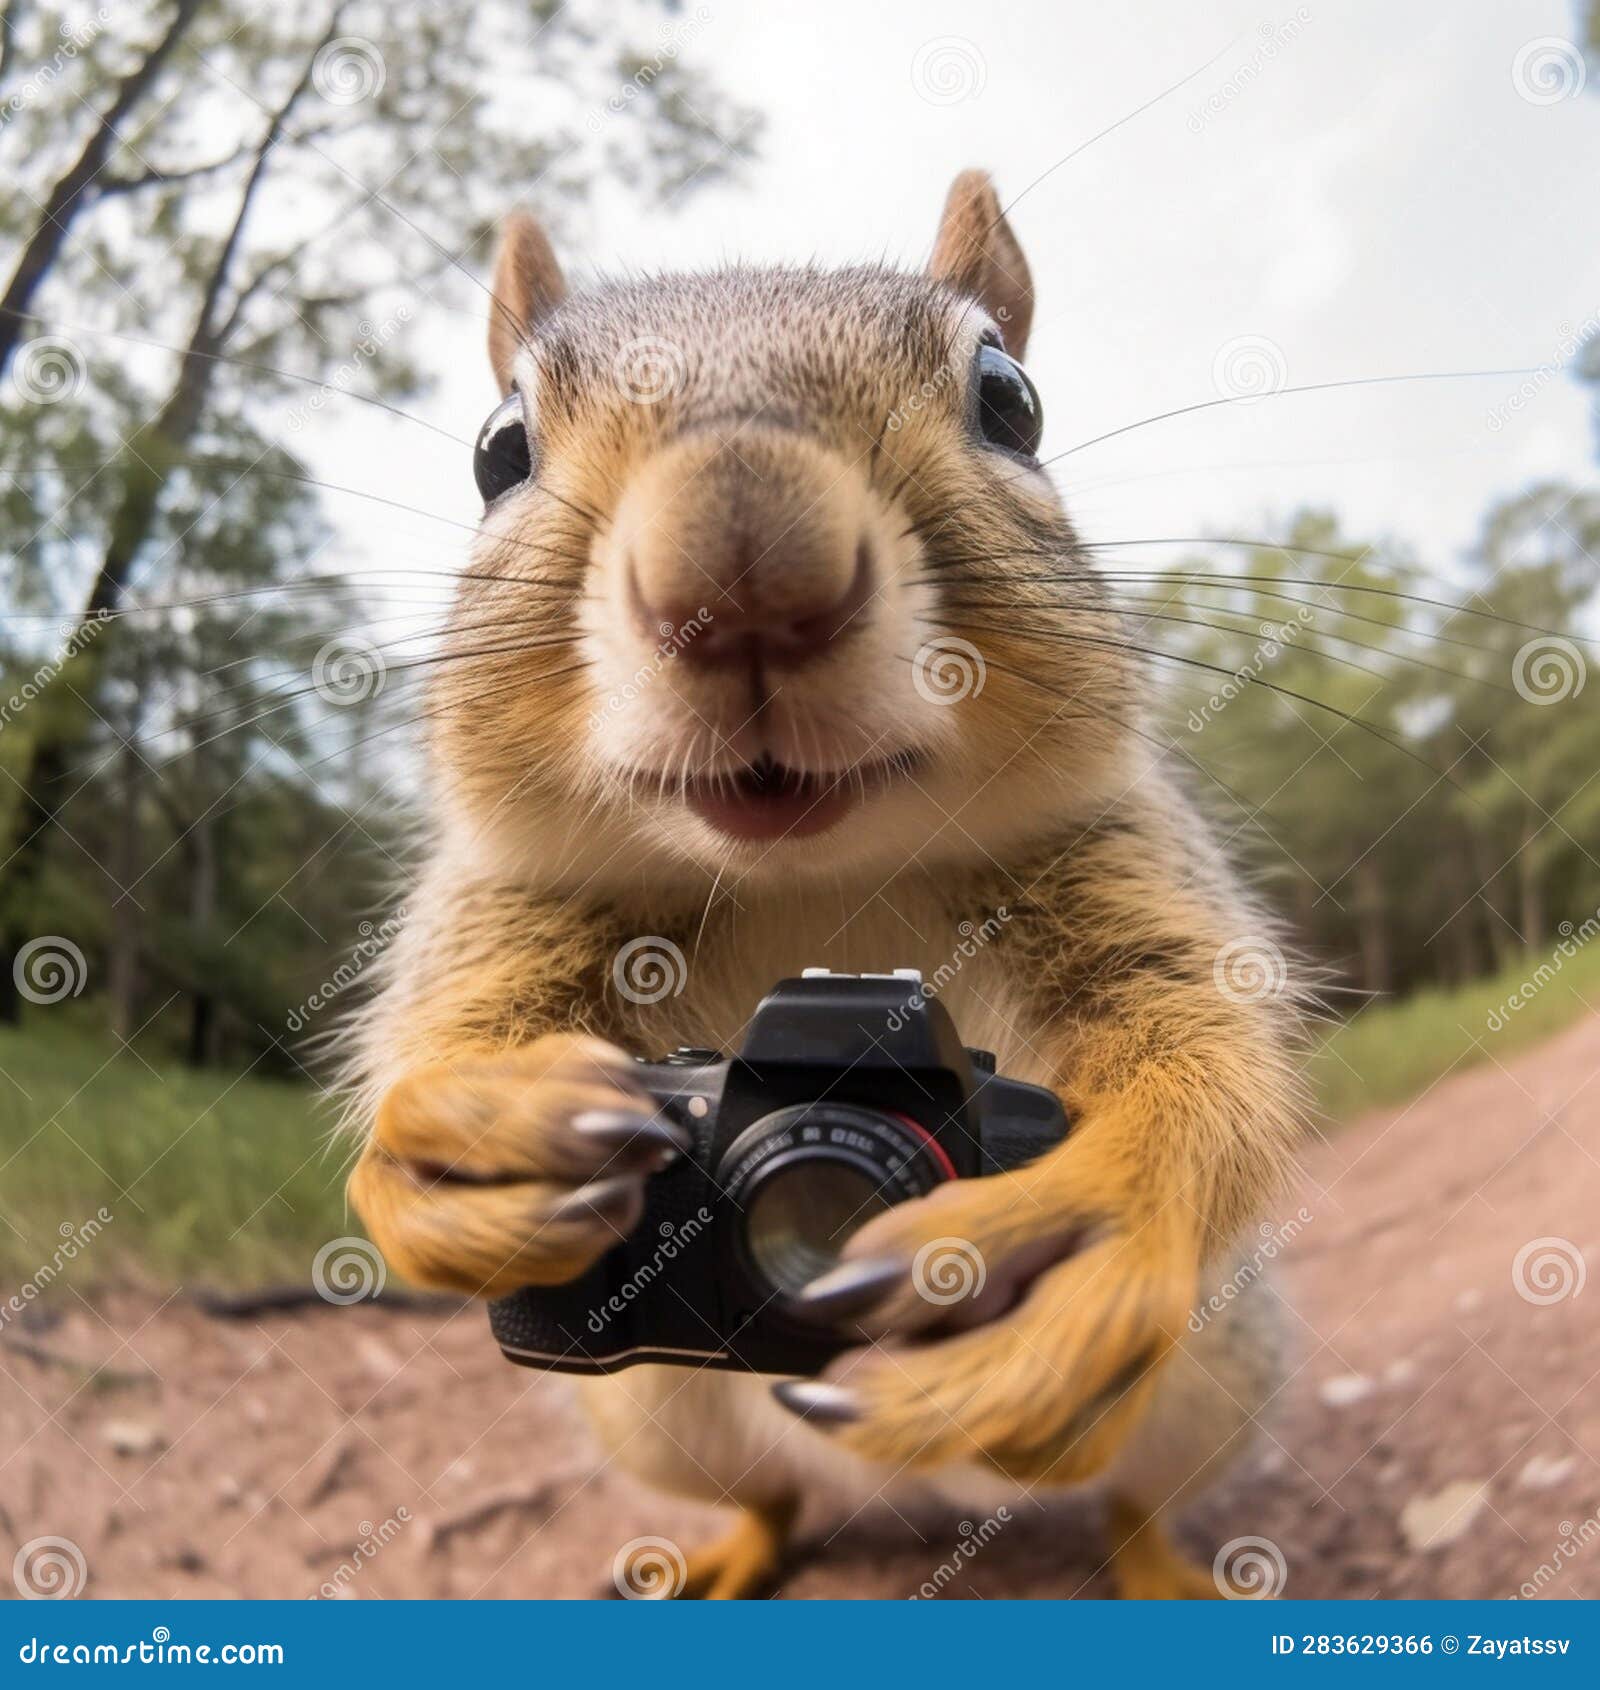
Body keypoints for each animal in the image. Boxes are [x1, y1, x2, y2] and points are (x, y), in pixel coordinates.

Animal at [345, 169, 1303, 1600]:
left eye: (1010, 399)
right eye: (496, 451)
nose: (742, 573)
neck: (815, 878)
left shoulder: (1128, 861)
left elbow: (1215, 1053)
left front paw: (1100, 1211)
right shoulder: (500, 909)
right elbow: (430, 1043)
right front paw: (454, 1143)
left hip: (1217, 1379)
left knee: (1131, 1487)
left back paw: (1154, 1561)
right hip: (646, 1412)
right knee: (772, 1493)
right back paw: (724, 1553)